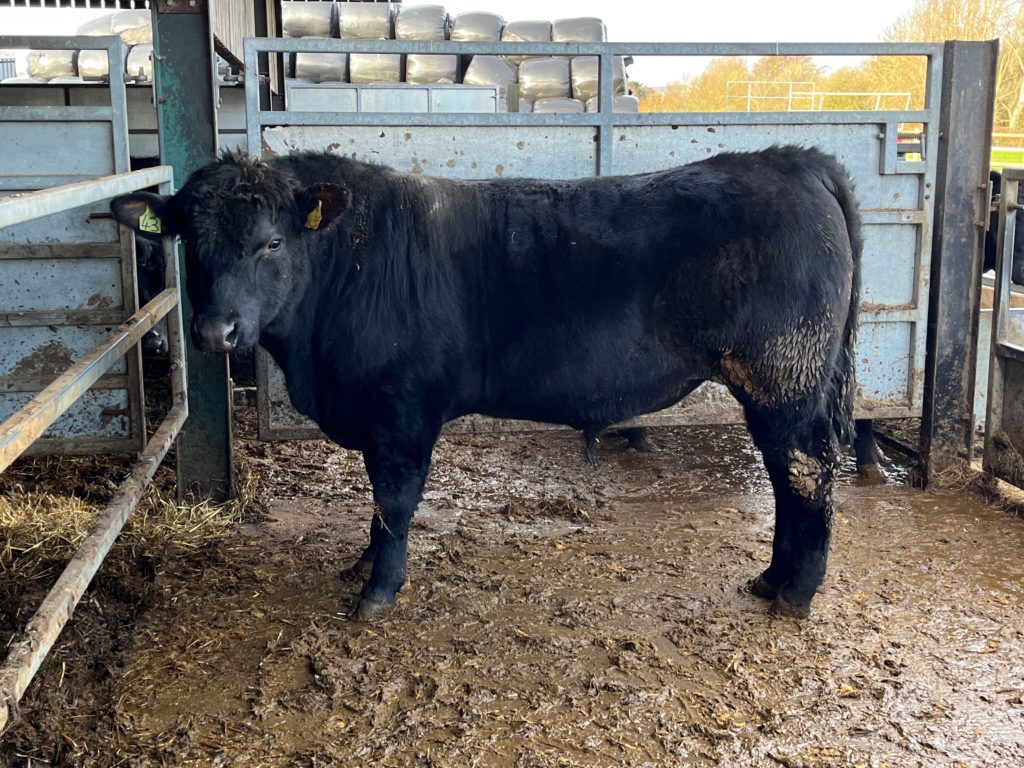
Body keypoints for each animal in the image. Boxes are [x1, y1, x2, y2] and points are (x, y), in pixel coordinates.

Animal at [110, 145, 862, 620]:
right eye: (188, 243)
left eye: (272, 241)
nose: (216, 331)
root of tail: (791, 159)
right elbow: (377, 504)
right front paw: (362, 565)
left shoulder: (404, 409)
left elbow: (395, 499)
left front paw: (377, 592)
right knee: (794, 476)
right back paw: (773, 580)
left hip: (785, 381)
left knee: (805, 472)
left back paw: (795, 591)